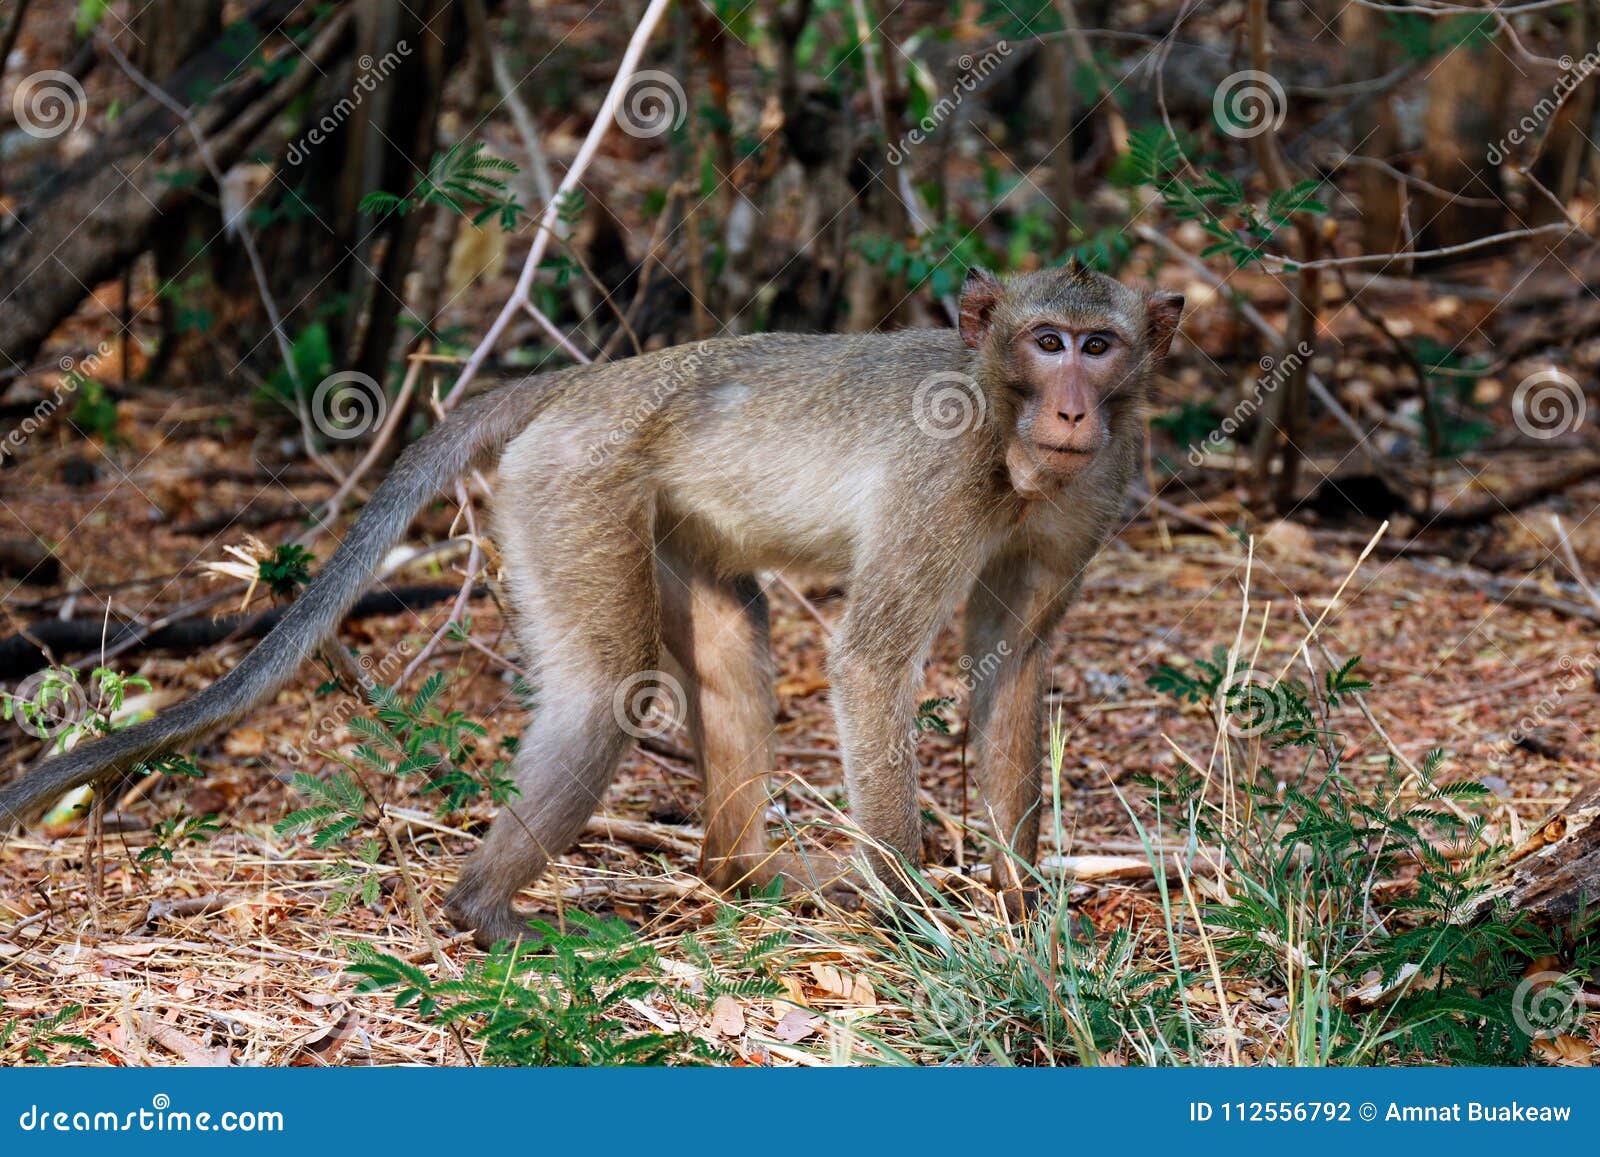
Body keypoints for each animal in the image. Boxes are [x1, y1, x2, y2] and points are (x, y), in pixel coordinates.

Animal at [0, 264, 1182, 946]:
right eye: (1045, 340)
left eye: (1100, 344)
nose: (1071, 407)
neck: (1010, 437)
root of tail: (586, 381)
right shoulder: (942, 474)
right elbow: (873, 662)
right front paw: (910, 908)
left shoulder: (1097, 487)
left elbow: (1012, 660)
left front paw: (1021, 893)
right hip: (573, 484)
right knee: (606, 683)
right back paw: (483, 909)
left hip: (654, 515)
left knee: (730, 641)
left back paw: (737, 871)